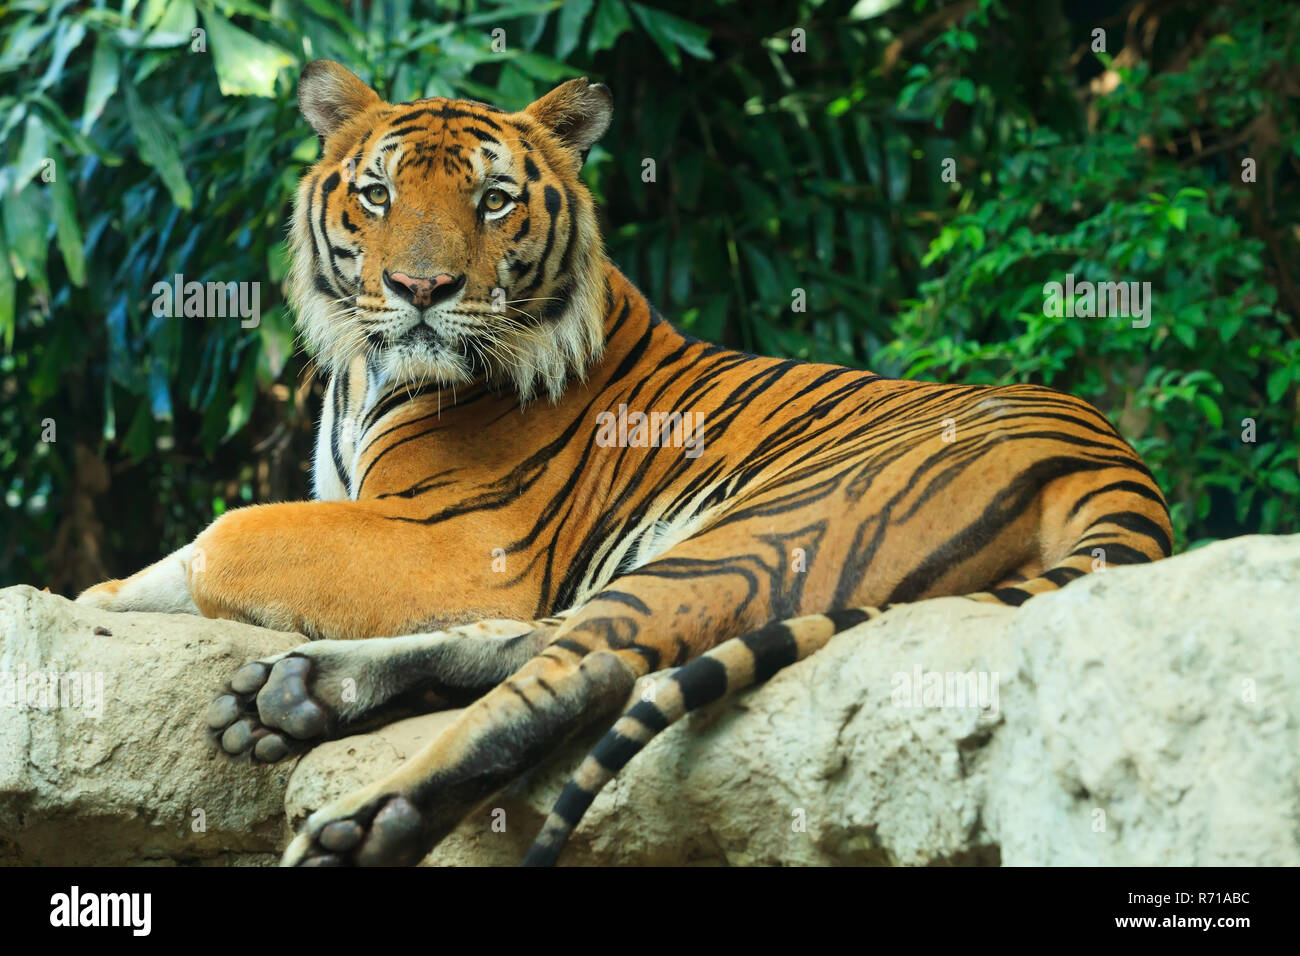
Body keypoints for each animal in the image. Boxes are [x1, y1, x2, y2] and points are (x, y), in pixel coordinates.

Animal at [75, 59, 1173, 867]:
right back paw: (296, 693)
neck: (368, 371)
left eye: (494, 201)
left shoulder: (465, 546)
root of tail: (1117, 459)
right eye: (378, 195)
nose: (422, 289)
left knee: (586, 669)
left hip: (759, 529)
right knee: (568, 647)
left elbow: (225, 536)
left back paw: (363, 819)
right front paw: (102, 596)